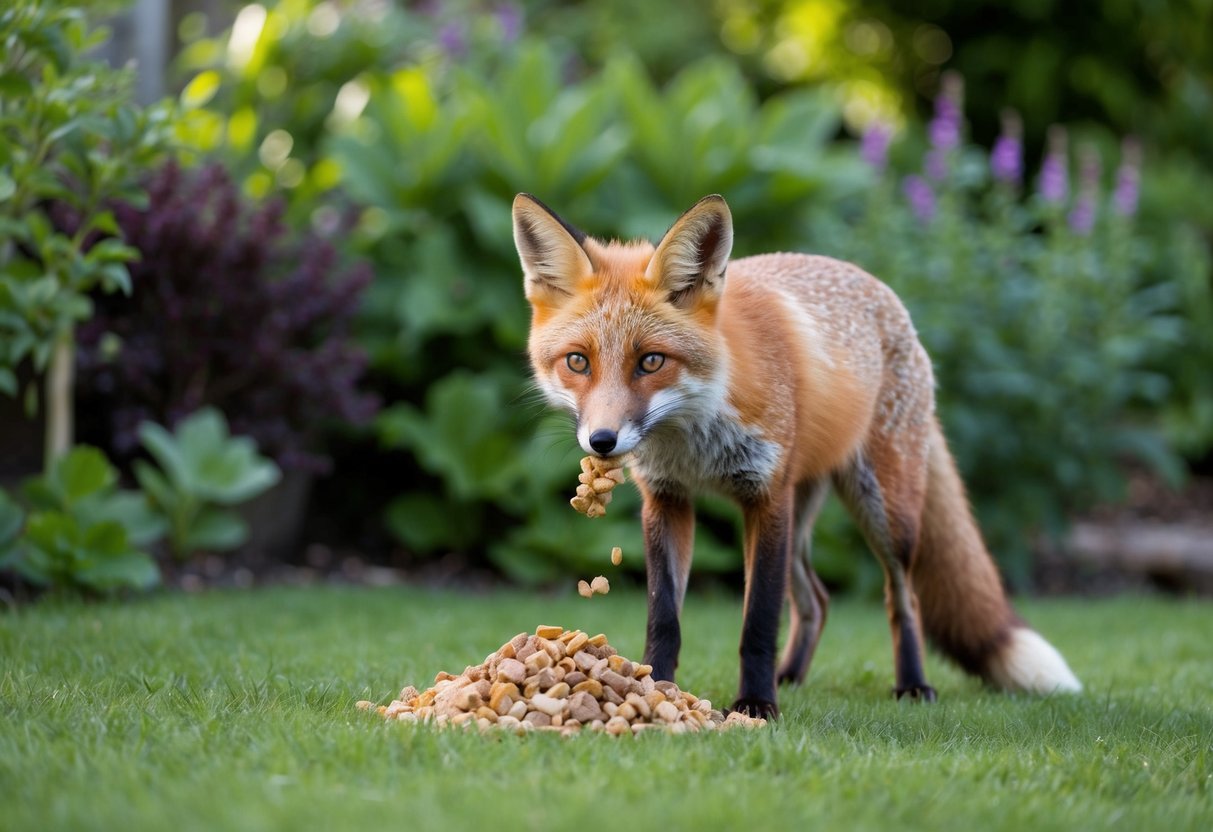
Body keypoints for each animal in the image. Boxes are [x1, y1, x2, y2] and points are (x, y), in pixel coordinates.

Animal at [512, 192, 1082, 718]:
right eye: (578, 362)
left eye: (651, 361)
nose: (602, 441)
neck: (696, 436)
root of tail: (887, 296)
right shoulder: (667, 500)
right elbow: (664, 616)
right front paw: (658, 688)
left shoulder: (766, 497)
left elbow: (759, 621)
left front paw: (756, 704)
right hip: (803, 515)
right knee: (817, 601)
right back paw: (793, 676)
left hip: (883, 513)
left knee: (904, 598)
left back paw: (912, 684)